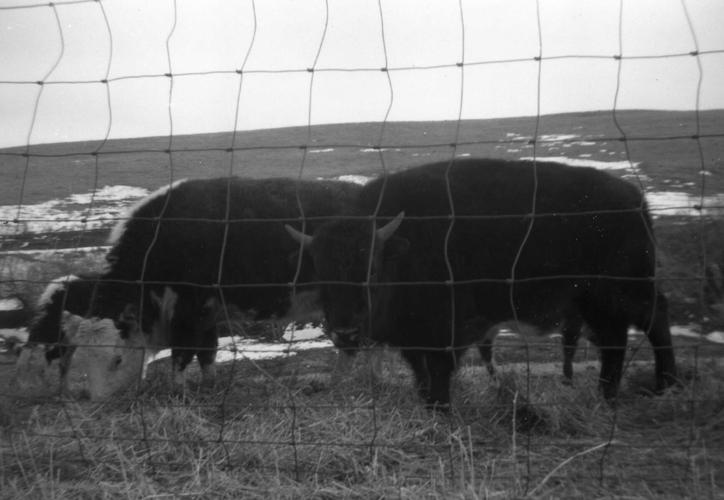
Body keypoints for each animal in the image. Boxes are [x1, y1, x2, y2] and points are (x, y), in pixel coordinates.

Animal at [286, 158, 678, 409]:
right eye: (321, 273)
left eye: (370, 271)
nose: (345, 333)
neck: (402, 246)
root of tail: (636, 200)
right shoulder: (413, 338)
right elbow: (420, 372)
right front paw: (428, 403)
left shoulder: (449, 332)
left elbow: (439, 371)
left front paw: (441, 408)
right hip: (594, 303)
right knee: (617, 339)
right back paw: (610, 394)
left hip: (624, 293)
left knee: (653, 323)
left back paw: (660, 386)